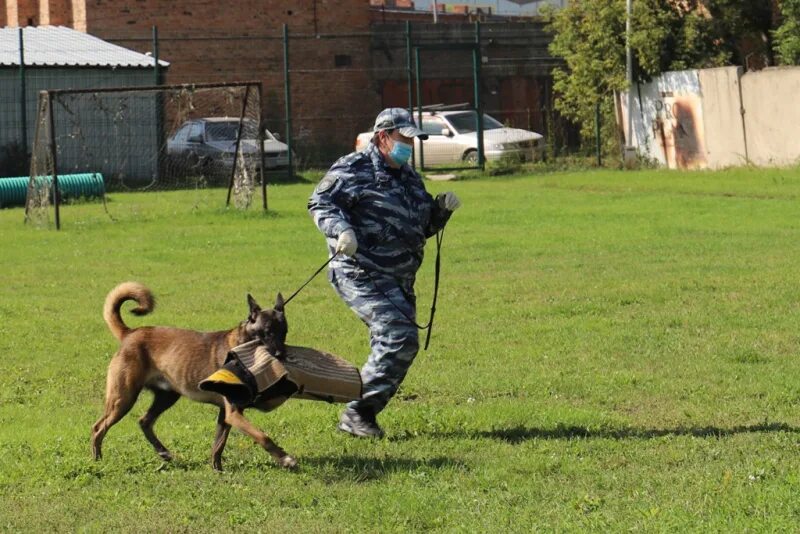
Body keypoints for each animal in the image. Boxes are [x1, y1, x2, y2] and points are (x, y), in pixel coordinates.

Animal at [90, 282, 296, 472]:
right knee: (98, 428)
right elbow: (262, 436)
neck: (243, 346)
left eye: (284, 332)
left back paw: (163, 452)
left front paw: (217, 470)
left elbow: (218, 445)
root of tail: (130, 333)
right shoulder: (233, 413)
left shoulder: (226, 414)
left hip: (167, 396)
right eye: (267, 332)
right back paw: (97, 460)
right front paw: (285, 459)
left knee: (144, 421)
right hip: (123, 398)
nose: (282, 355)